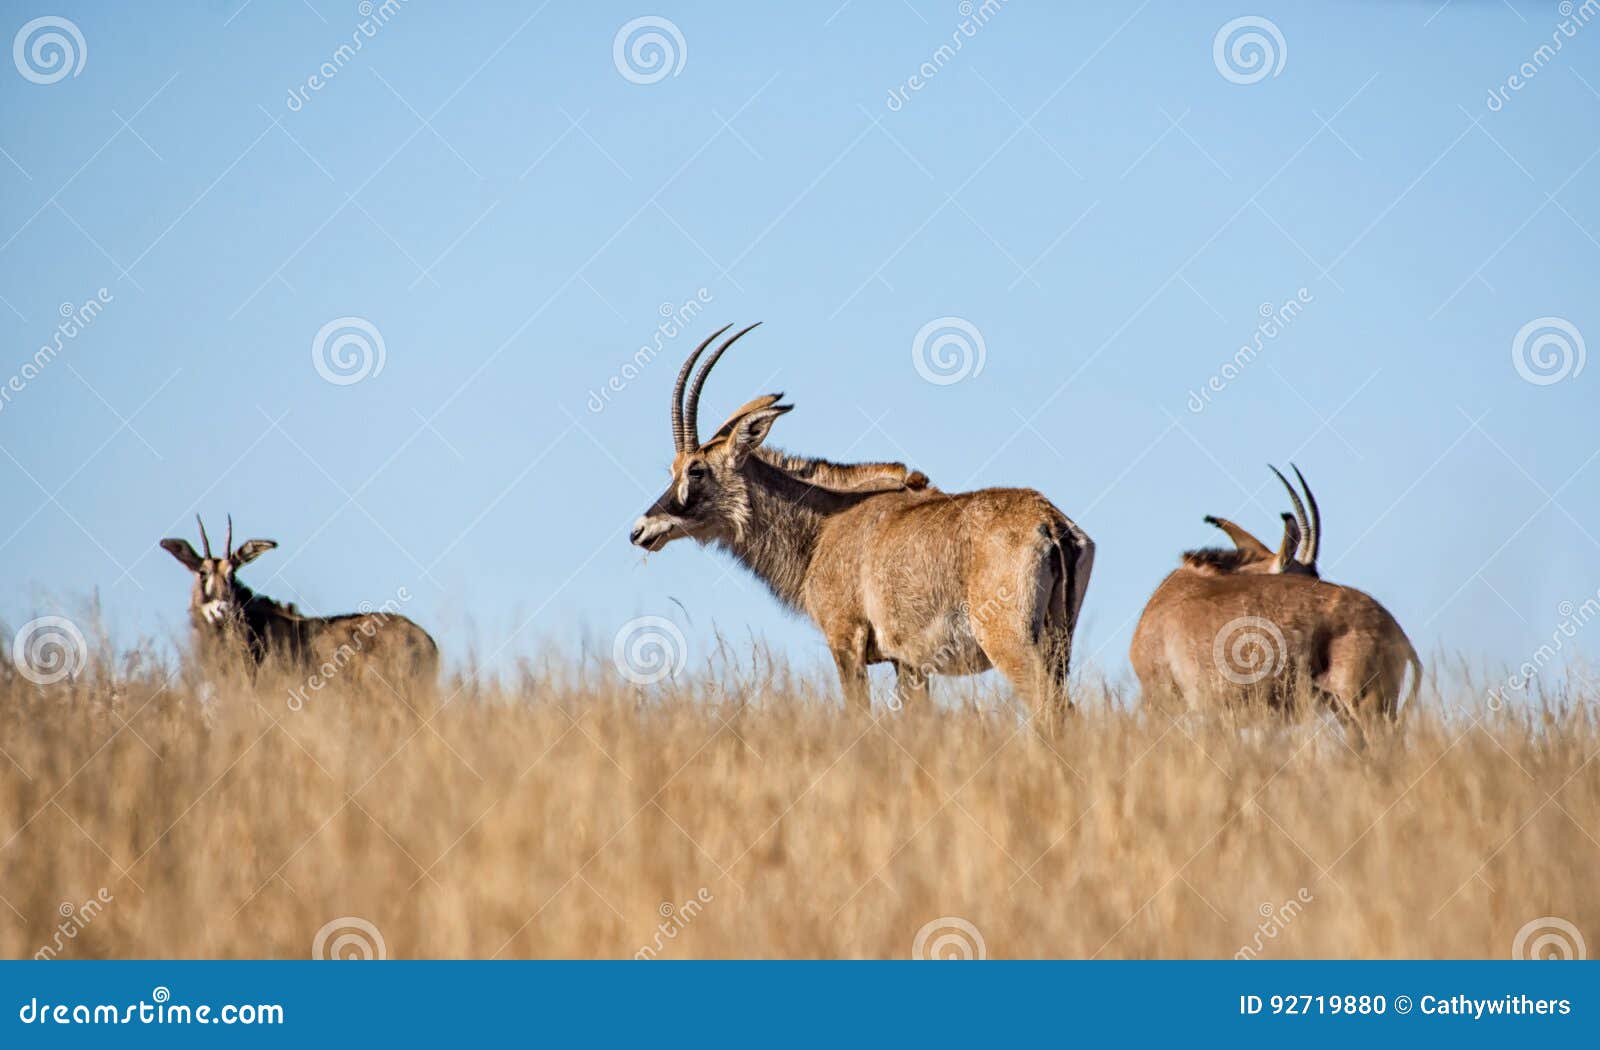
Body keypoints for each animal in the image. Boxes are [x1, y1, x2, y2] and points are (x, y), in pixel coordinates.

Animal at [628, 323, 1095, 716]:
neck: (825, 525)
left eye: (696, 470)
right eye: (673, 469)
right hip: (1059, 646)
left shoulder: (846, 640)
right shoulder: (909, 663)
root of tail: (1050, 522)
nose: (641, 530)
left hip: (1010, 643)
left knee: (1049, 709)